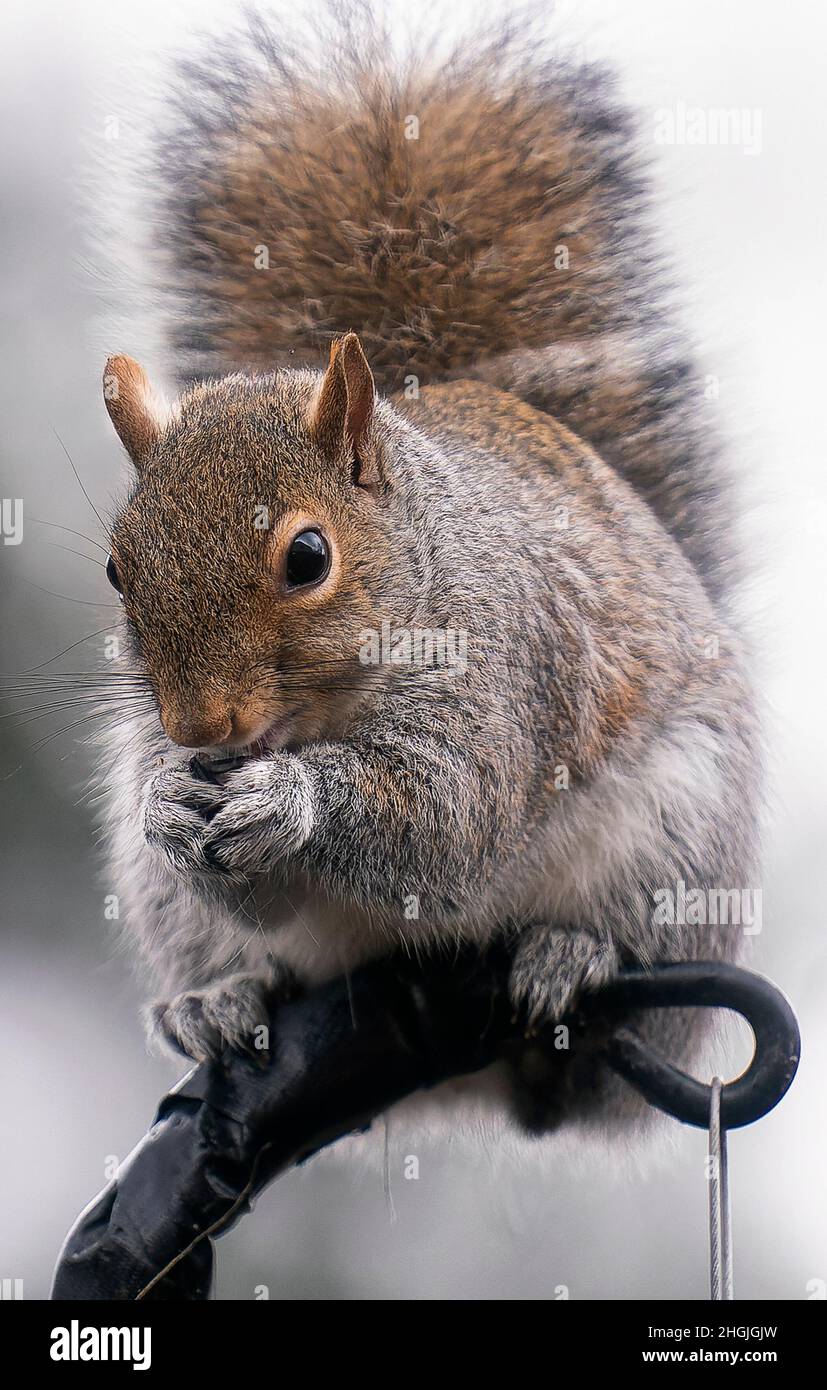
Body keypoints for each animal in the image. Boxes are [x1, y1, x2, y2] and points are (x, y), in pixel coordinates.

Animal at [98, 9, 761, 1137]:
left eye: (307, 557)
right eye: (114, 568)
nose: (197, 730)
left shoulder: (505, 678)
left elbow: (446, 823)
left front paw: (293, 798)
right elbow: (260, 886)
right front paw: (170, 806)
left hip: (683, 833)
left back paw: (571, 956)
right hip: (155, 900)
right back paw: (214, 1002)